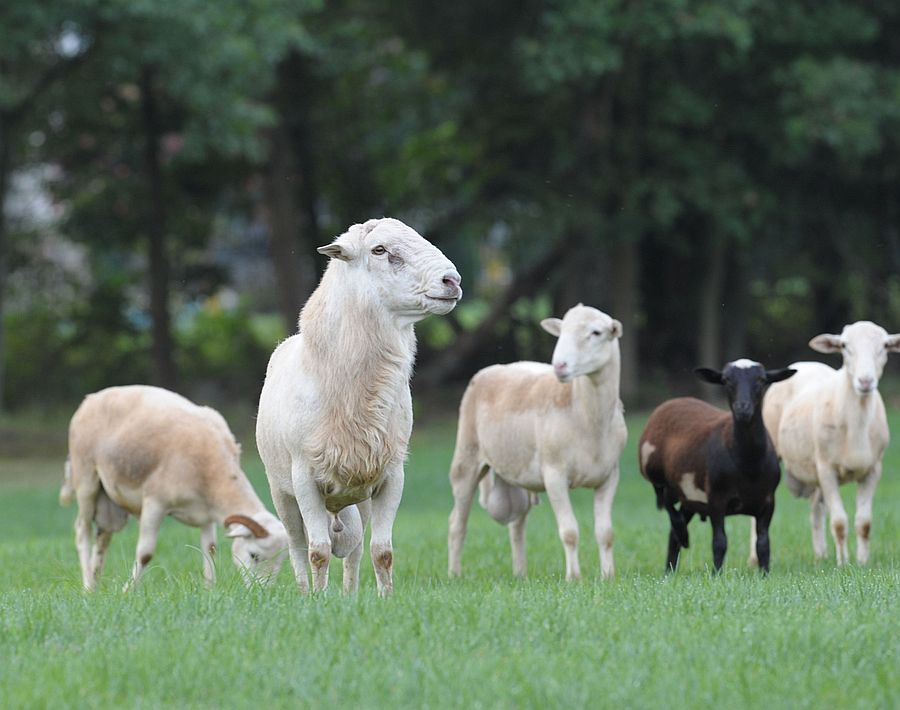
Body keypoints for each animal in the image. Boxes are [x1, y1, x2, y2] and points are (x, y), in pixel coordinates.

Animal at [60, 385, 292, 590]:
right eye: (254, 555)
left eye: (281, 562)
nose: (261, 591)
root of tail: (91, 399)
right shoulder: (155, 503)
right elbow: (145, 553)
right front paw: (128, 591)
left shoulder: (206, 513)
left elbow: (210, 549)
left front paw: (209, 590)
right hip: (86, 479)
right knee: (82, 531)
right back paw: (88, 586)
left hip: (109, 502)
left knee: (103, 536)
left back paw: (95, 583)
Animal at [256, 217, 461, 595]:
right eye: (379, 250)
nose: (451, 281)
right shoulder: (304, 478)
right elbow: (318, 551)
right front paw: (317, 601)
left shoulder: (392, 475)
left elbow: (382, 551)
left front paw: (386, 599)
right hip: (282, 492)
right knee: (296, 546)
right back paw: (305, 592)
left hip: (359, 497)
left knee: (353, 551)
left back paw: (349, 595)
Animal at [447, 304, 626, 581]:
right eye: (561, 331)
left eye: (596, 332)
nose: (560, 366)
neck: (588, 418)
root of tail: (492, 369)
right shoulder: (554, 474)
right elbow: (569, 531)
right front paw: (574, 578)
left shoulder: (609, 476)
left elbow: (605, 533)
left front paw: (608, 577)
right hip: (466, 457)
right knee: (458, 522)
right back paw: (454, 575)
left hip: (516, 475)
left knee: (517, 524)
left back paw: (520, 573)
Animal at [639, 360, 796, 573]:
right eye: (726, 380)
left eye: (761, 380)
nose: (743, 409)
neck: (748, 465)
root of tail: (673, 401)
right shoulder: (716, 498)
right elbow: (720, 542)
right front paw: (716, 574)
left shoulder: (768, 501)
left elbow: (763, 543)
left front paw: (765, 573)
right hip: (653, 469)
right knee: (666, 502)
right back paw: (683, 535)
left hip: (689, 496)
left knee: (673, 530)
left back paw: (670, 569)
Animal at [757, 321, 900, 565]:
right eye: (844, 346)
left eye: (884, 346)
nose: (865, 381)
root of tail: (802, 364)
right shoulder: (827, 469)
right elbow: (840, 522)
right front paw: (843, 563)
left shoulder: (874, 469)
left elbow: (864, 523)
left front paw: (862, 562)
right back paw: (754, 560)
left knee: (816, 510)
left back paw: (821, 556)